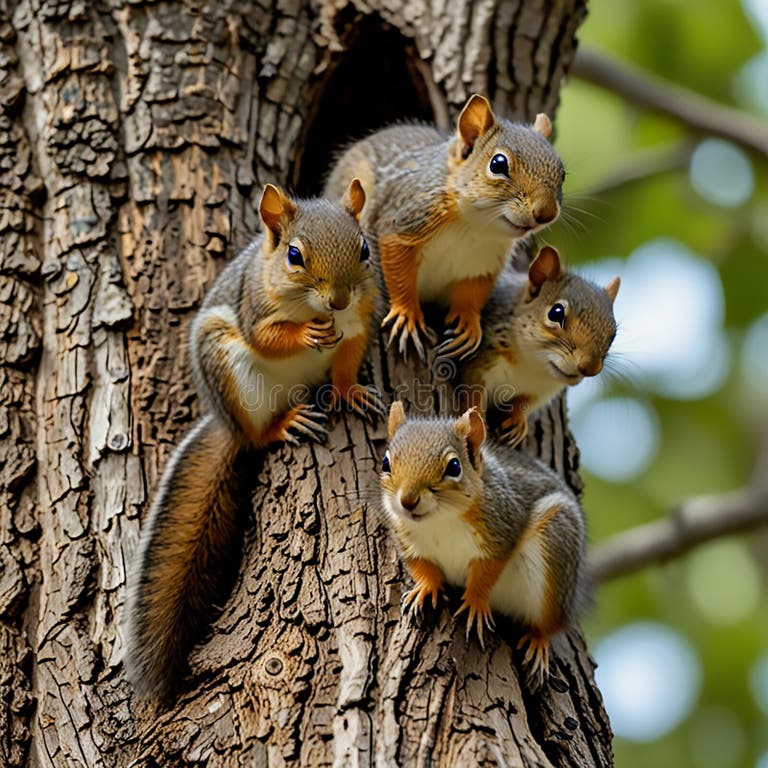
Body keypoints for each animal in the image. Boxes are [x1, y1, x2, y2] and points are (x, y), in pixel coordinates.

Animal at [125, 179, 382, 700]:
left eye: (364, 248)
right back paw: (284, 425)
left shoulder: (360, 320)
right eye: (294, 255)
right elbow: (267, 337)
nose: (339, 301)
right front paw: (305, 333)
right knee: (259, 436)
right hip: (226, 362)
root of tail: (228, 425)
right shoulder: (253, 307)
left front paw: (352, 392)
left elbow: (347, 359)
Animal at [324, 93, 564, 361]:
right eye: (498, 164)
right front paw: (407, 315)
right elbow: (399, 271)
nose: (546, 214)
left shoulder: (484, 261)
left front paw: (468, 324)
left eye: (562, 173)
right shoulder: (403, 220)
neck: (476, 225)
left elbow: (472, 292)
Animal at [379, 401, 587, 686]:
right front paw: (425, 588)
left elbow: (486, 572)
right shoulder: (406, 540)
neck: (439, 520)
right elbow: (423, 567)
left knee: (549, 623)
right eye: (385, 462)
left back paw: (538, 642)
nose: (408, 501)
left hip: (556, 549)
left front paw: (475, 604)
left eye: (454, 466)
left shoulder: (501, 531)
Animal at [459, 245, 620, 447]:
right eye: (556, 313)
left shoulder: (541, 391)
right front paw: (479, 419)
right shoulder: (478, 362)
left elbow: (525, 403)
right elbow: (473, 393)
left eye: (614, 334)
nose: (589, 368)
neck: (532, 365)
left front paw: (518, 420)